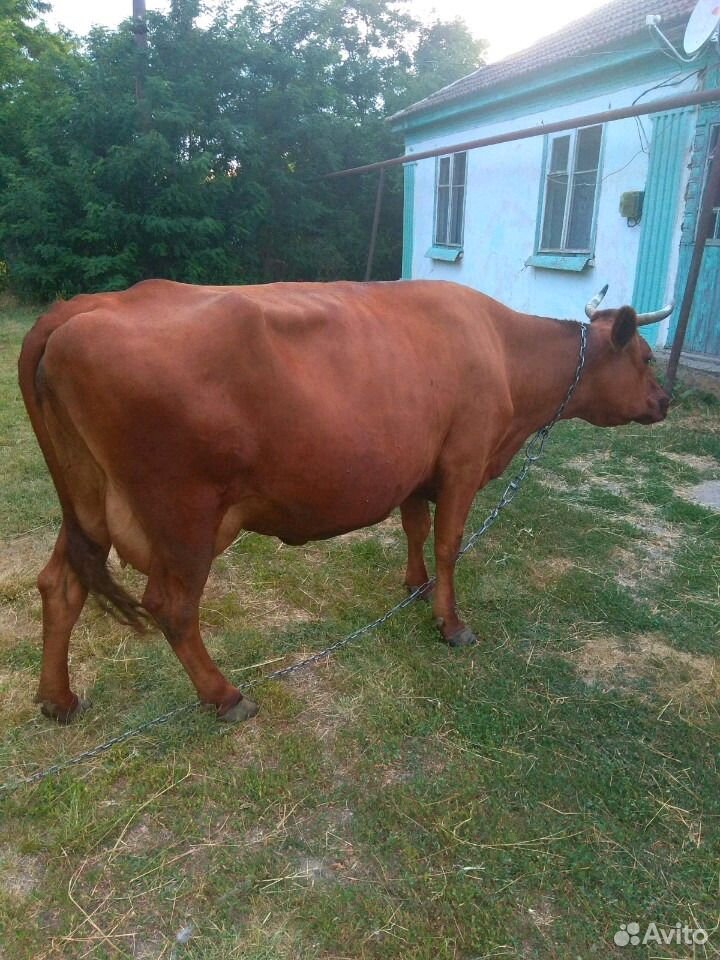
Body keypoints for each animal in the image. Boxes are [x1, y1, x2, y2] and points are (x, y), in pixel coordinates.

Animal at [18, 279, 671, 723]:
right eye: (646, 358)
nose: (666, 401)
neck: (504, 352)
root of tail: (86, 305)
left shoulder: (415, 469)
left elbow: (414, 529)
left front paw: (415, 587)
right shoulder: (463, 462)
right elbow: (449, 542)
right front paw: (452, 624)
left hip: (87, 502)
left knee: (61, 583)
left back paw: (58, 699)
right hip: (183, 512)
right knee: (171, 605)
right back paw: (226, 696)